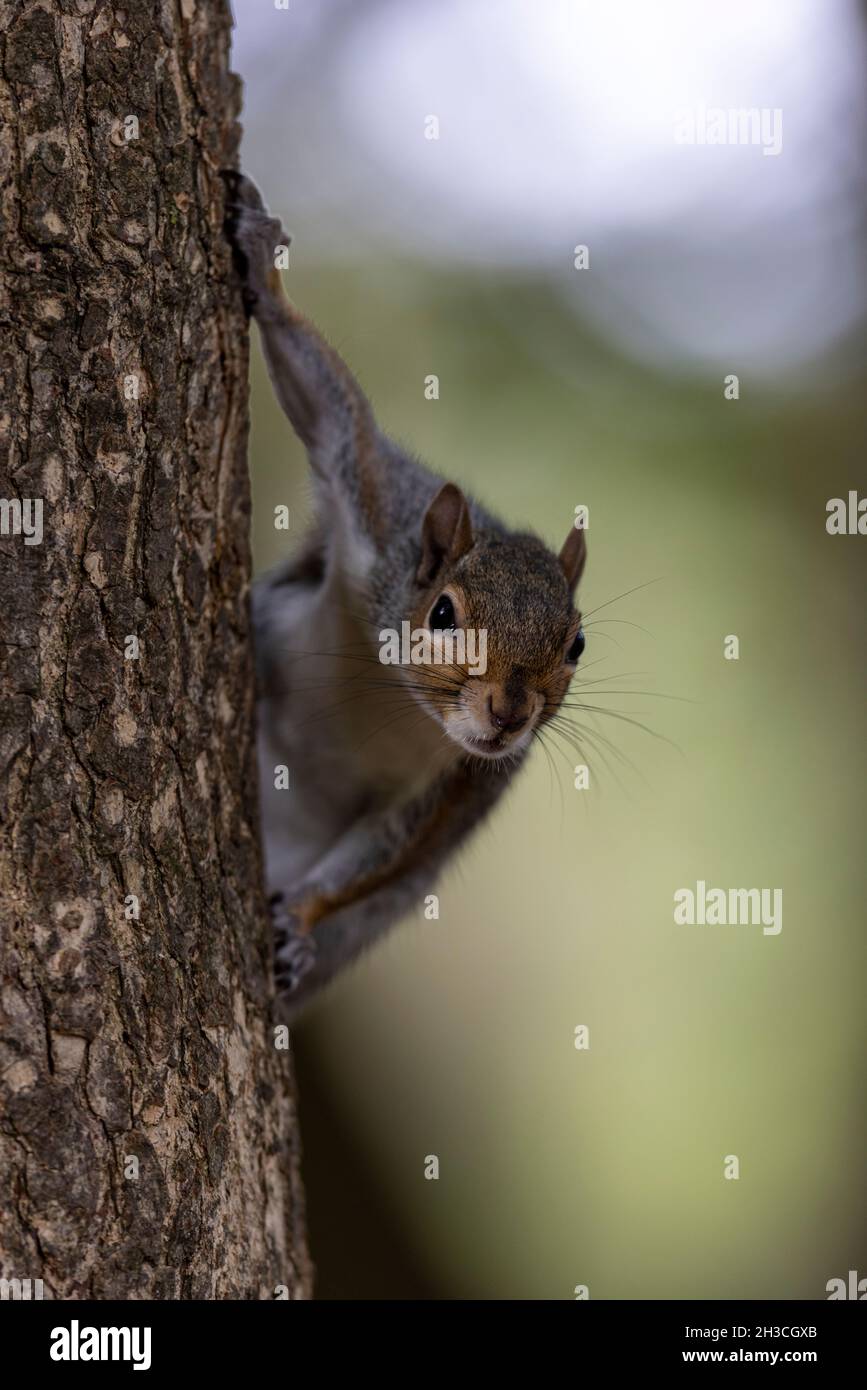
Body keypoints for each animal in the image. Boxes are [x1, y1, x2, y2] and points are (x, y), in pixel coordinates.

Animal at [223, 173, 588, 1021]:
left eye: (577, 647)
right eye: (442, 614)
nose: (507, 713)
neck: (401, 701)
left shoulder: (461, 782)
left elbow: (387, 851)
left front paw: (297, 921)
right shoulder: (382, 514)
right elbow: (339, 422)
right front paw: (267, 274)